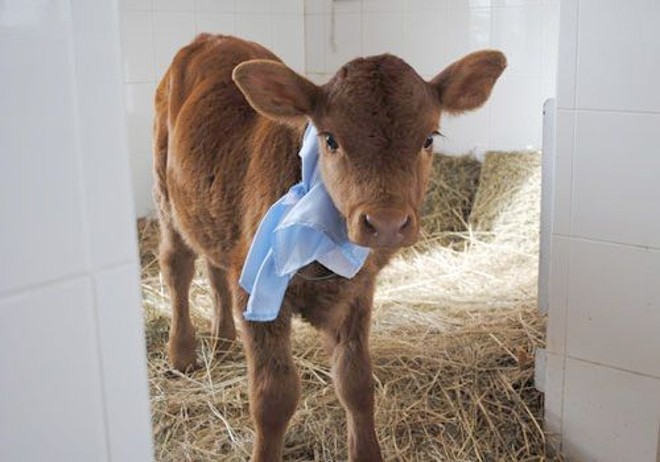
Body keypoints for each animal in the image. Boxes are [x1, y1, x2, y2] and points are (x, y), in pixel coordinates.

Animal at [153, 33, 505, 461]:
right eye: (331, 139)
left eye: (428, 139)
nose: (386, 222)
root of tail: (210, 38)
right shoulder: (256, 289)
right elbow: (273, 399)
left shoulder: (357, 292)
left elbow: (356, 384)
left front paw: (367, 452)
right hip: (165, 195)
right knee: (178, 267)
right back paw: (182, 353)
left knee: (213, 265)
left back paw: (223, 342)